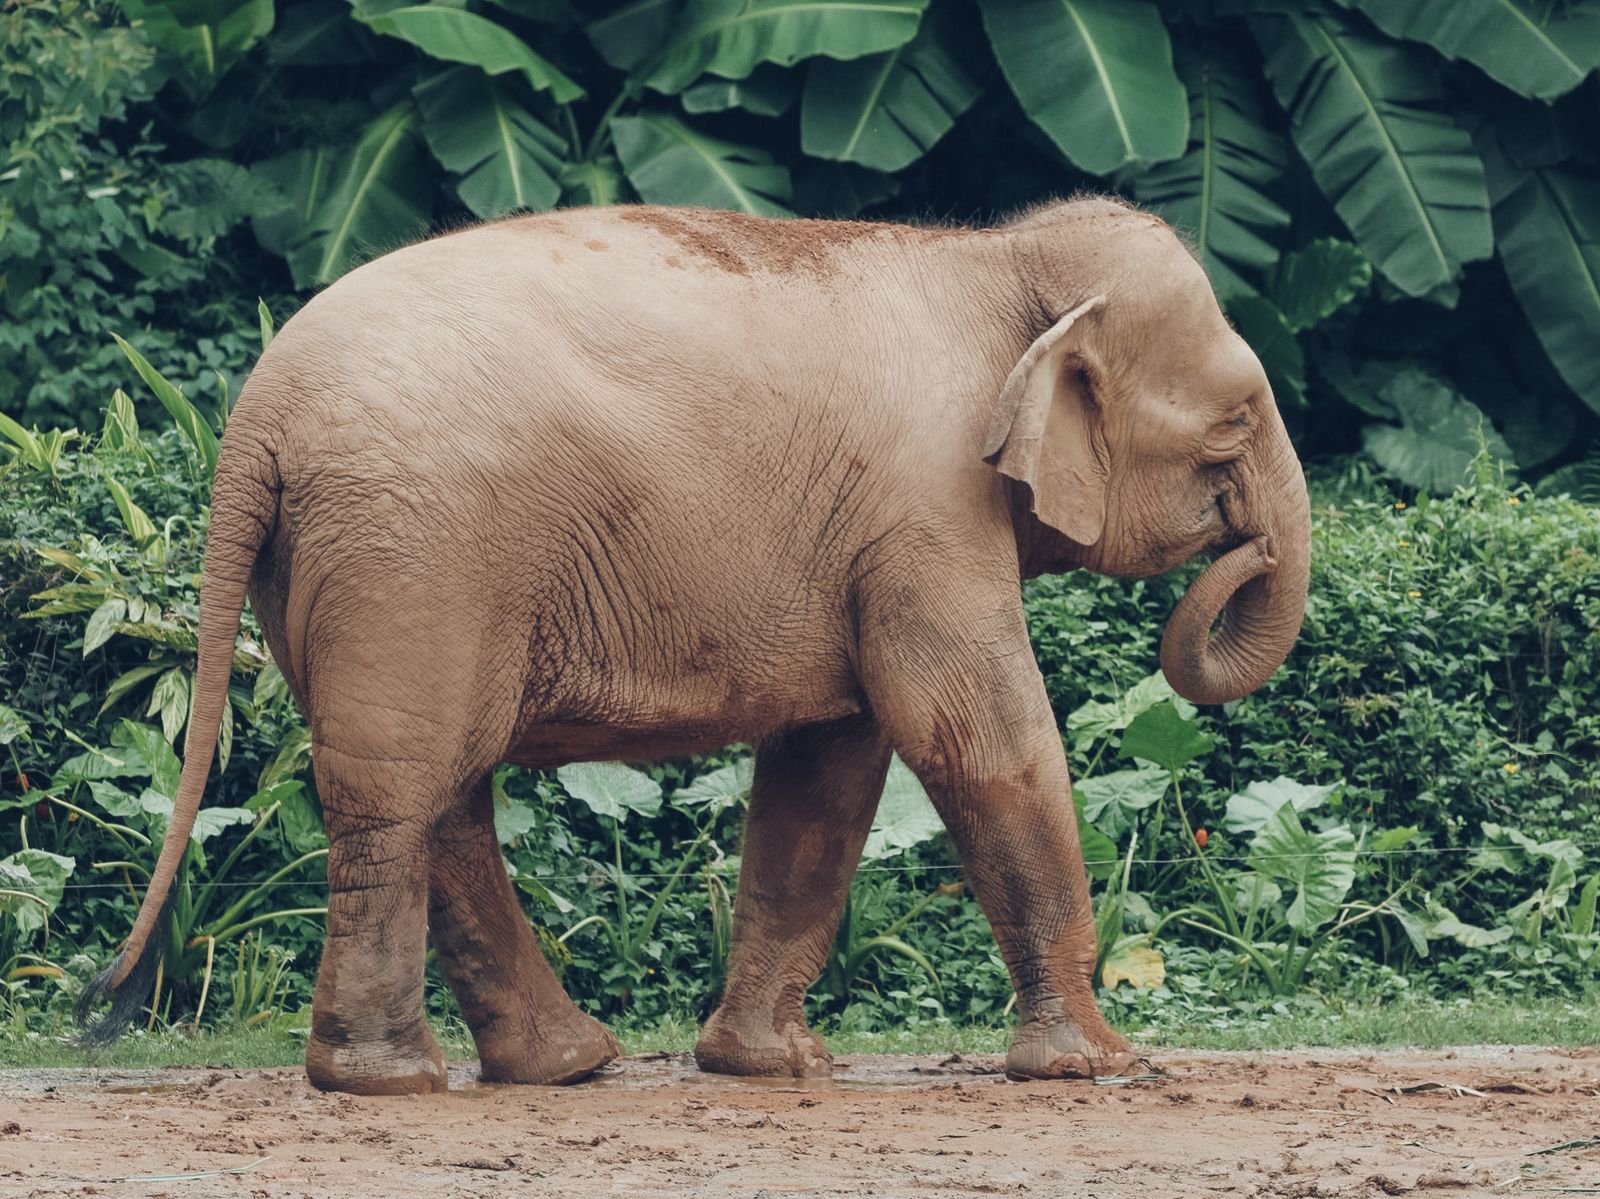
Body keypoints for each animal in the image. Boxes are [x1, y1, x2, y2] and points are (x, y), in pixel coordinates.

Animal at [78, 196, 1310, 1096]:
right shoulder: (926, 505)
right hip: (411, 550)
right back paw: (392, 1081)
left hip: (349, 564)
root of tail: (255, 417)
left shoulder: (870, 531)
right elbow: (974, 738)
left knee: (442, 791)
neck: (1002, 263)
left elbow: (827, 767)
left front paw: (772, 1066)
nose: (1242, 549)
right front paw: (1099, 1067)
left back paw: (561, 1065)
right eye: (1235, 422)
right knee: (402, 787)